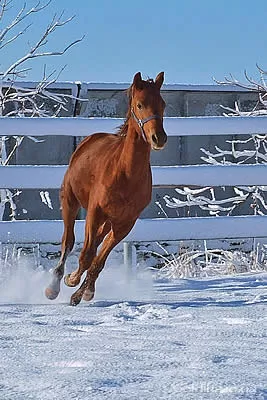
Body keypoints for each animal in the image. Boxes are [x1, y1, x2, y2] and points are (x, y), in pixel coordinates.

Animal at [45, 71, 168, 306]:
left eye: (163, 104)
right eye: (140, 105)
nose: (159, 138)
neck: (125, 174)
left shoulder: (124, 224)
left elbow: (97, 261)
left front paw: (81, 294)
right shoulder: (94, 212)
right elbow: (86, 255)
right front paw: (70, 282)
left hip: (108, 221)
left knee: (94, 247)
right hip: (70, 201)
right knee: (68, 241)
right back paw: (54, 286)